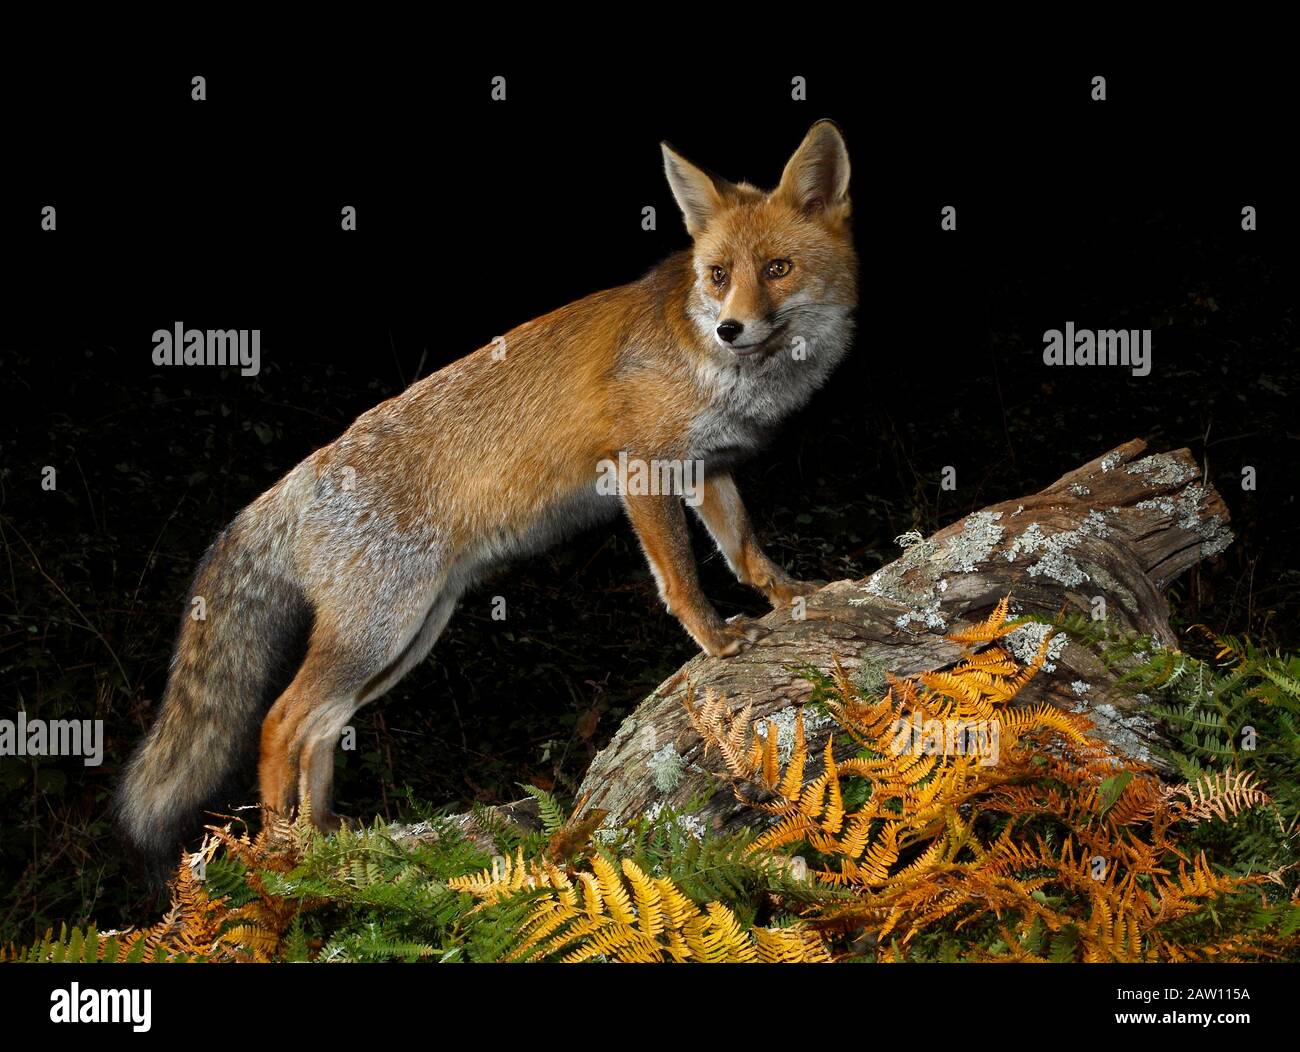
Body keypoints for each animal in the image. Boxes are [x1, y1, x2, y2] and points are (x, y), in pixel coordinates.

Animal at [115, 119, 858, 876]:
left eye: (777, 269)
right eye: (718, 276)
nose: (730, 329)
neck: (723, 370)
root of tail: (294, 480)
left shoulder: (707, 468)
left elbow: (745, 552)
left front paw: (794, 595)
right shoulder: (644, 468)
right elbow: (679, 578)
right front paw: (715, 639)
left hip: (407, 637)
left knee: (320, 728)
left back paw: (323, 836)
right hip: (380, 630)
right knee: (279, 721)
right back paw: (278, 852)